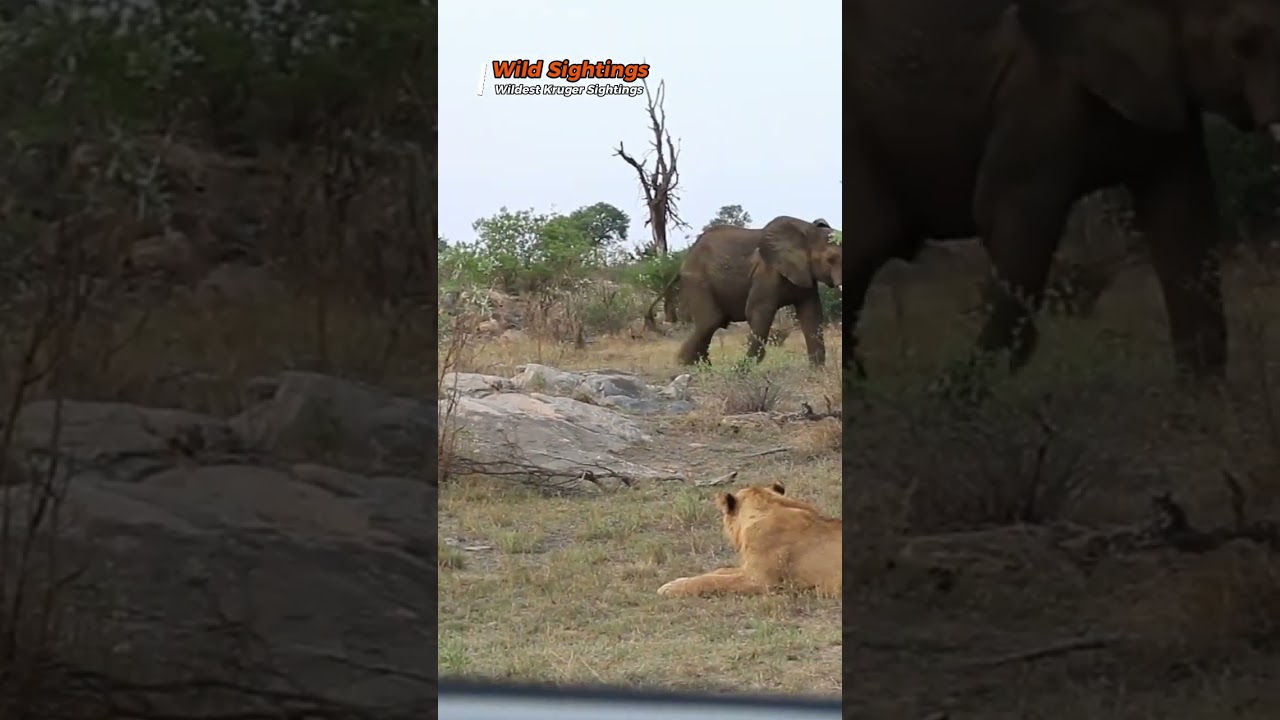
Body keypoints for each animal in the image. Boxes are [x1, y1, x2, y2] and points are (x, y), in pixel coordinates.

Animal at [645, 216, 841, 367]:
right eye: (831, 259)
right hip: (698, 281)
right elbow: (758, 312)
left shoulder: (805, 275)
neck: (807, 231)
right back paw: (687, 367)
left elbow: (811, 315)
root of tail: (683, 264)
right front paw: (741, 371)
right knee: (710, 321)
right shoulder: (766, 273)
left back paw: (702, 368)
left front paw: (817, 373)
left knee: (710, 324)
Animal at [657, 481, 841, 598]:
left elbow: (713, 580)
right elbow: (720, 571)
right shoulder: (747, 568)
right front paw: (677, 581)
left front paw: (669, 588)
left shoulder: (759, 580)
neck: (769, 506)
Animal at [844, 0, 1280, 383]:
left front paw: (1202, 414)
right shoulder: (1036, 85)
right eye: (1243, 42)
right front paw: (953, 404)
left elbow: (1184, 221)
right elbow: (1013, 216)